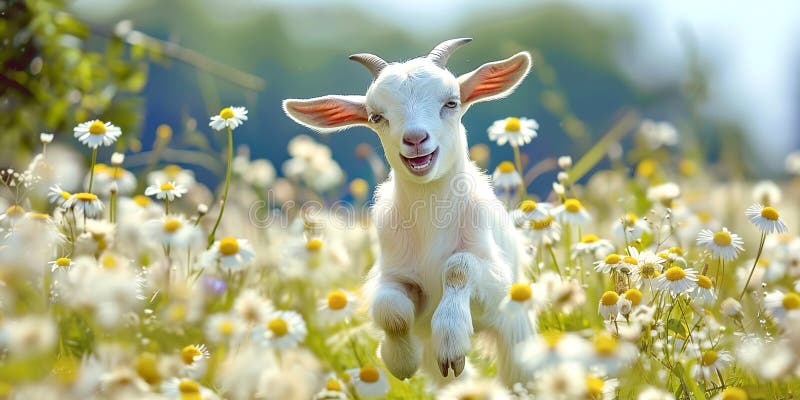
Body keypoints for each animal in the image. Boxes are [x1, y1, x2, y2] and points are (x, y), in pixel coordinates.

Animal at [283, 38, 534, 385]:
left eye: (451, 103)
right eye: (376, 116)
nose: (415, 139)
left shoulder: (496, 281)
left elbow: (459, 267)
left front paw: (452, 341)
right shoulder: (390, 273)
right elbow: (390, 307)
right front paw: (399, 358)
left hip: (515, 329)